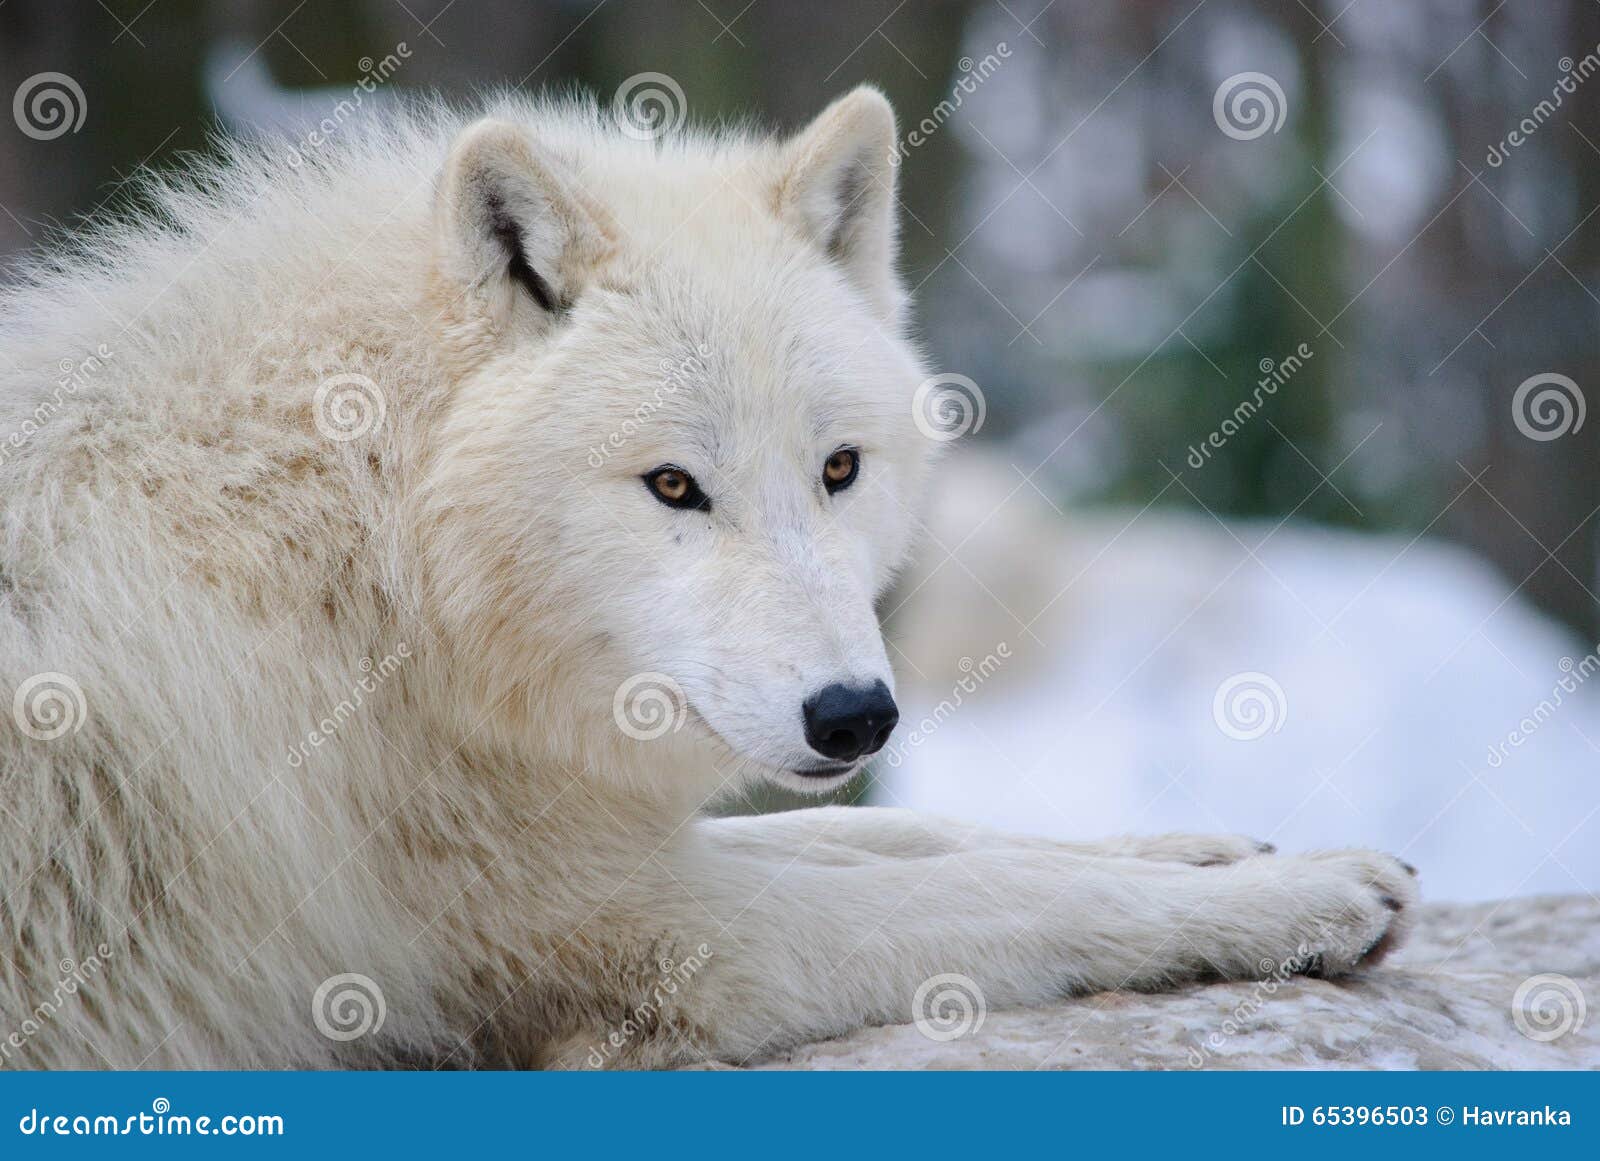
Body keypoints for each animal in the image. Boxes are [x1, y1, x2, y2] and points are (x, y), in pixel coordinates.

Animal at [0, 86, 1416, 1068]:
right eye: (674, 487)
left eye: (839, 468)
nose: (857, 716)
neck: (355, 549)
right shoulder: (643, 931)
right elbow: (998, 887)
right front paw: (1300, 894)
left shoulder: (616, 848)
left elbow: (897, 830)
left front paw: (1198, 847)